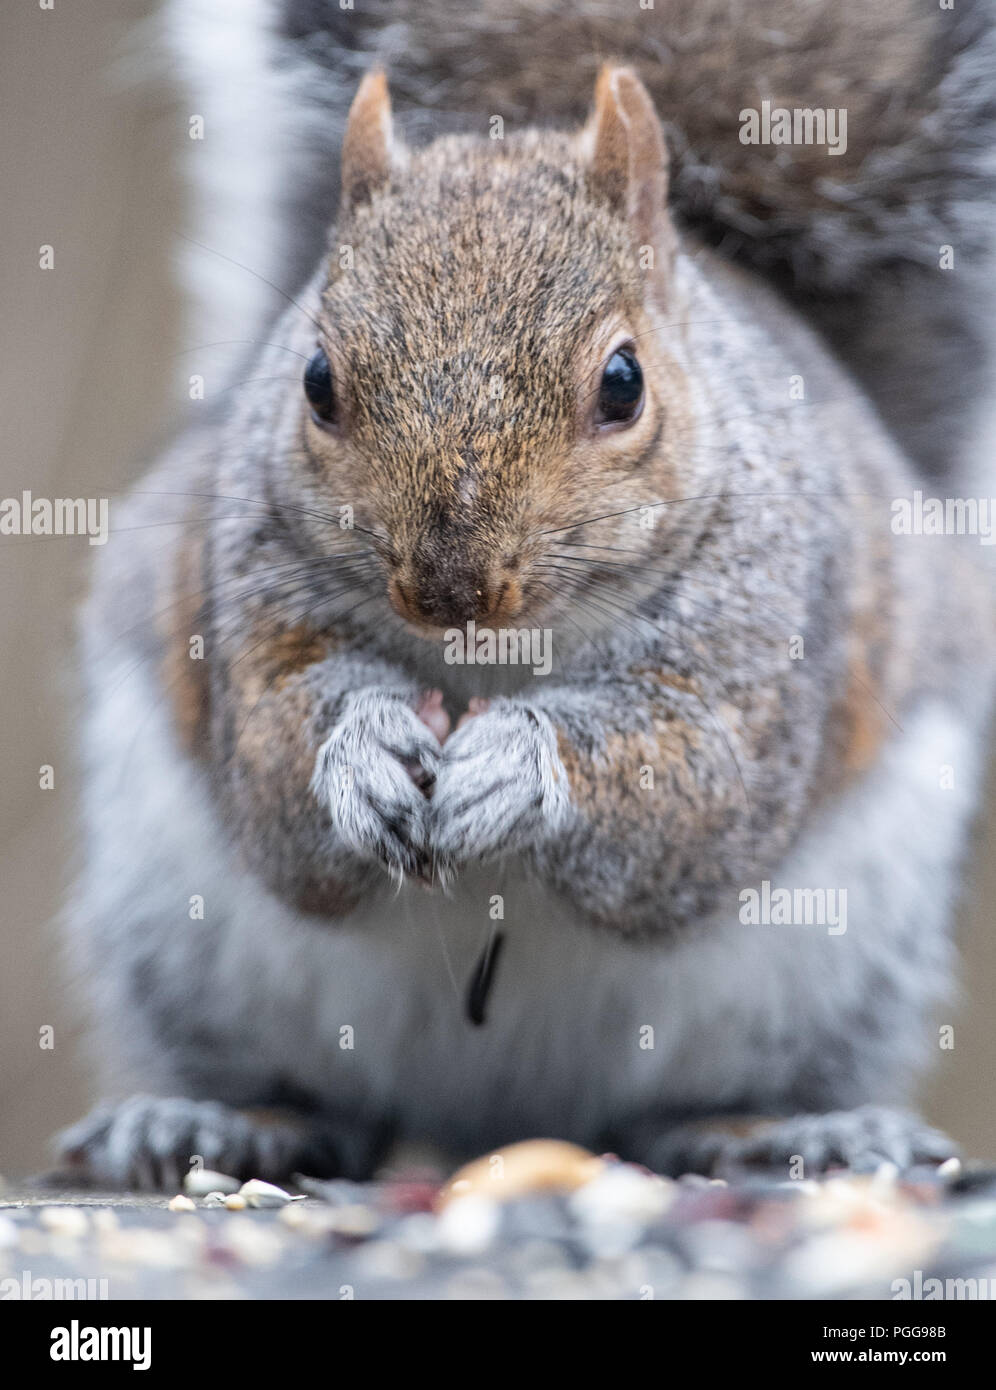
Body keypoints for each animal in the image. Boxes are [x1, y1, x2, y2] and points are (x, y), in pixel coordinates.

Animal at [58, 2, 996, 1186]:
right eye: (315, 380)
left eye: (623, 383)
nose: (451, 585)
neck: (493, 661)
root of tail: (493, 1118)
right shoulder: (245, 615)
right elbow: (274, 767)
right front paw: (361, 750)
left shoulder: (767, 648)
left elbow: (699, 795)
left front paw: (518, 766)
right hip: (178, 928)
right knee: (313, 1099)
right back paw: (214, 1120)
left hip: (837, 964)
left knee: (691, 1107)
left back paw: (786, 1130)